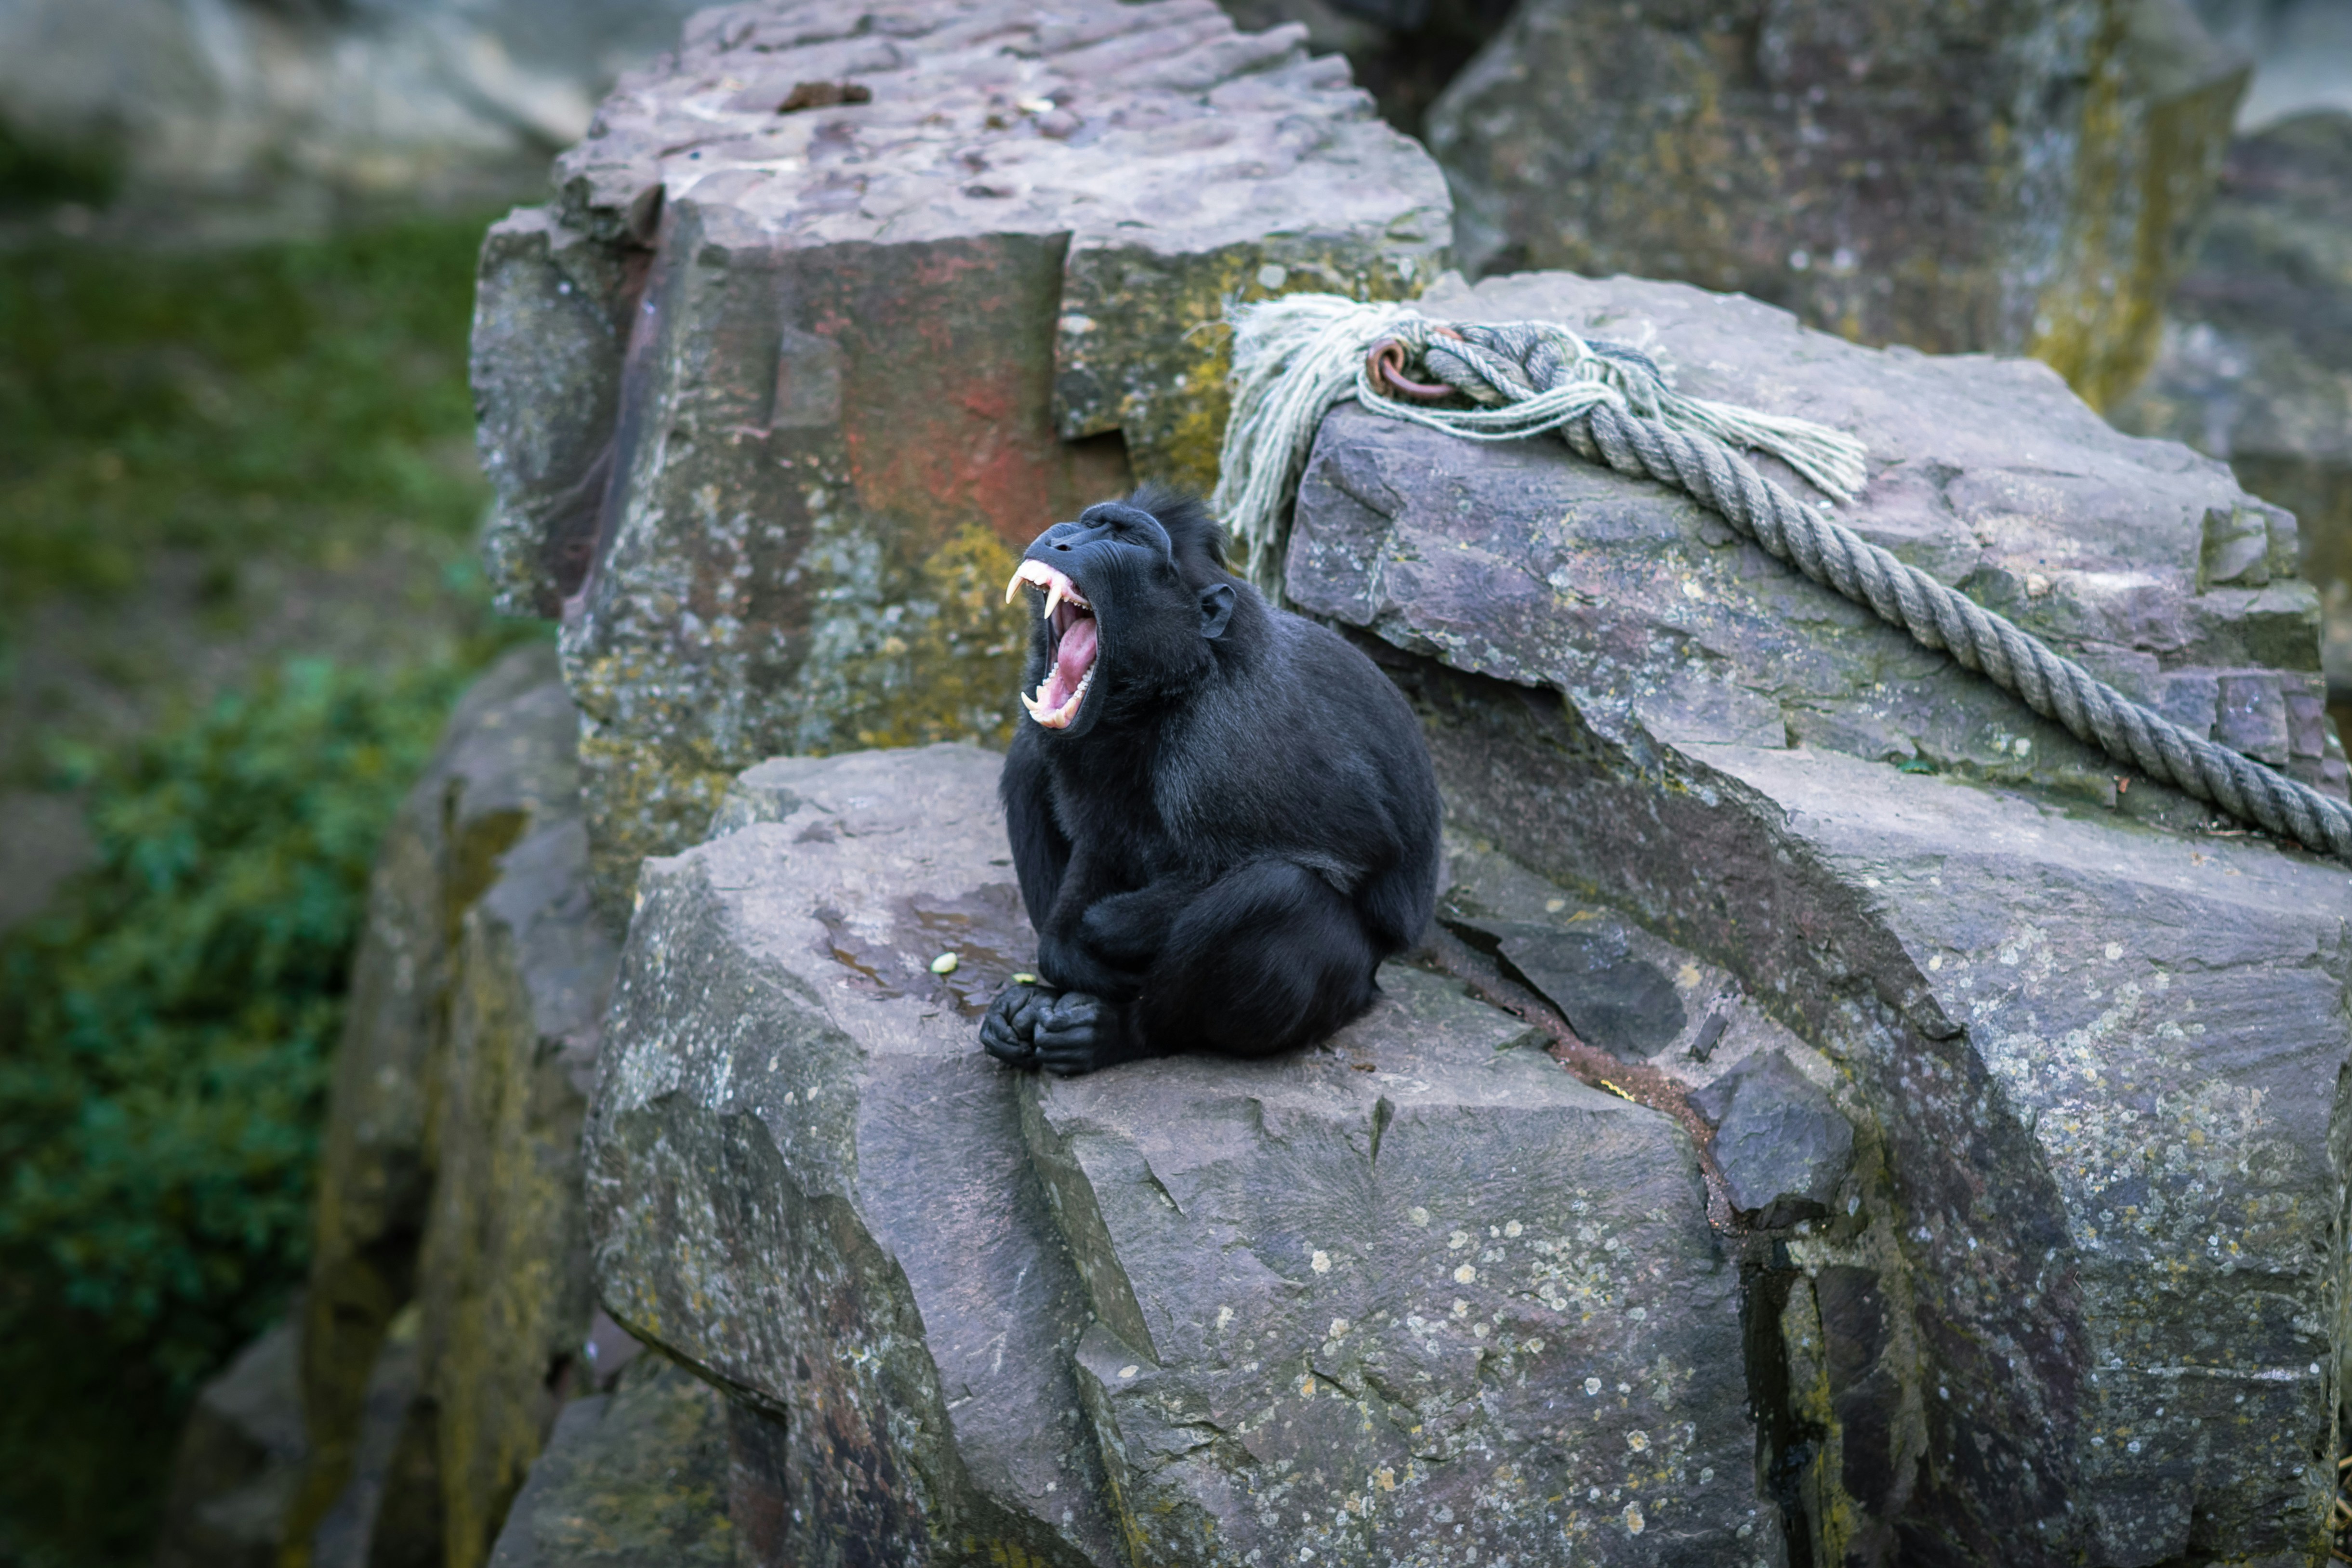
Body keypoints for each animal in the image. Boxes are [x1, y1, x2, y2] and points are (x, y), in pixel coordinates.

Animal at [979, 485, 1441, 1076]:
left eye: (1127, 538)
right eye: (1088, 524)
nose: (1059, 540)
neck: (1174, 686)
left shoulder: (1232, 743)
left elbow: (1363, 850)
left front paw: (1104, 936)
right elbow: (1099, 844)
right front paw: (1061, 957)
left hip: (1348, 989)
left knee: (1276, 891)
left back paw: (1124, 1033)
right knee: (1025, 764)